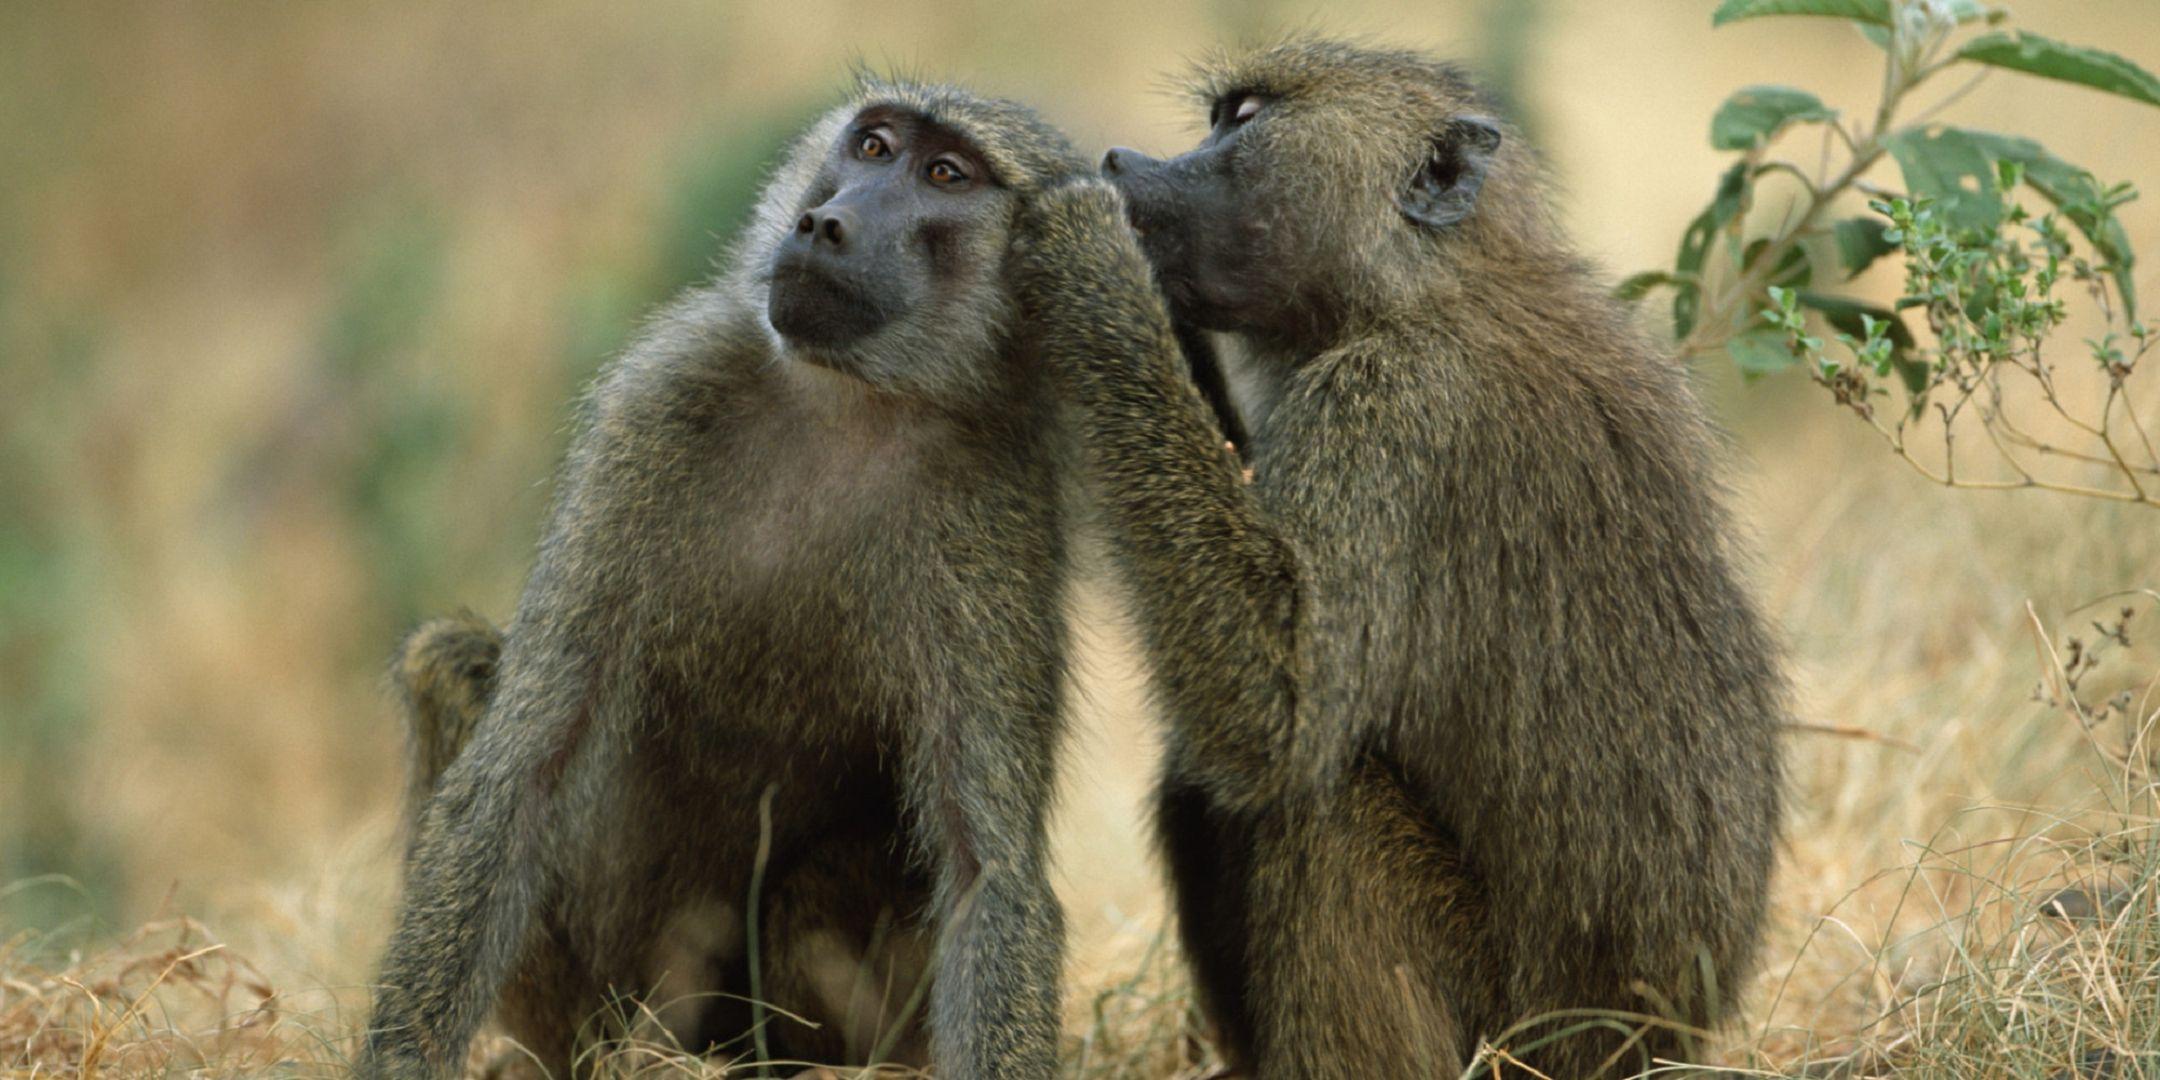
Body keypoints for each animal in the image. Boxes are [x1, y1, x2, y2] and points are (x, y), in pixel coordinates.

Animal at [356, 78, 1091, 1080]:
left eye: (946, 174)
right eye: (872, 146)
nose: (825, 223)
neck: (848, 405)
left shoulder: (998, 512)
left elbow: (990, 874)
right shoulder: (656, 403)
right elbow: (517, 774)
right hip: (598, 1002)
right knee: (447, 661)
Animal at [1014, 39, 1787, 1077]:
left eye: (1244, 120)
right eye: (1217, 118)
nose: (1121, 163)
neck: (1423, 286)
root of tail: (1654, 1042)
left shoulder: (1391, 412)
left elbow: (1278, 714)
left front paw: (1094, 260)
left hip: (1507, 1030)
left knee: (1318, 806)